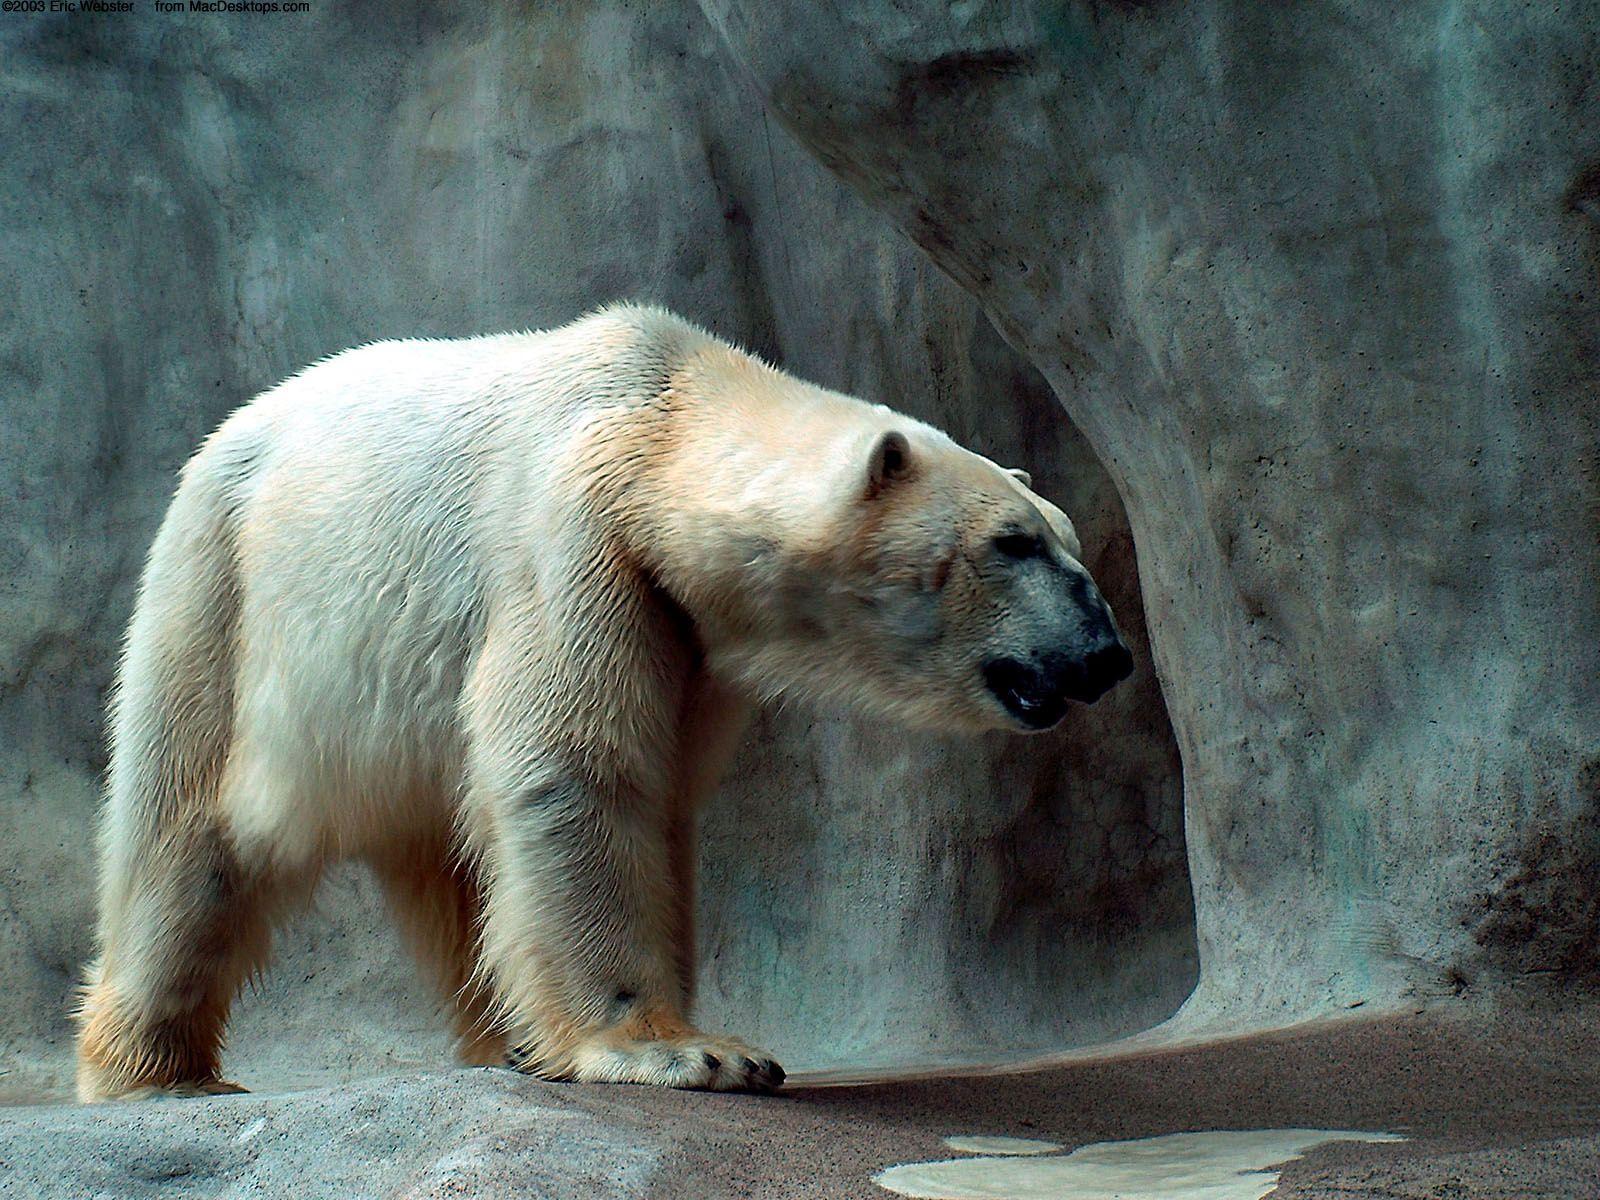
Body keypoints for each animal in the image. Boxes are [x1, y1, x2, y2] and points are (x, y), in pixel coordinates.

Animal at [74, 304, 1132, 1101]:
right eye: (1011, 543)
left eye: (1064, 537)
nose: (1108, 655)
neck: (655, 416)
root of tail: (235, 431)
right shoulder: (575, 543)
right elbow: (579, 772)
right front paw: (689, 1051)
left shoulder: (690, 636)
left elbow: (655, 804)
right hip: (224, 589)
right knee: (187, 835)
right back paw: (156, 1071)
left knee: (455, 859)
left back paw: (507, 1039)